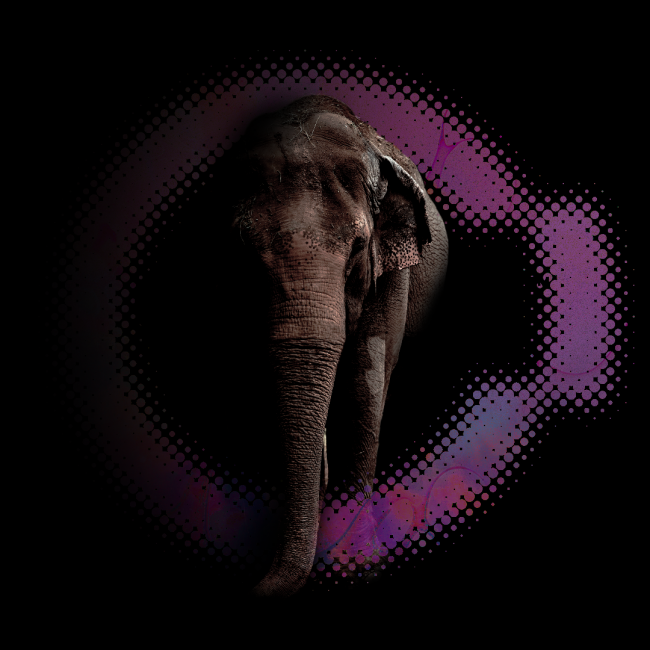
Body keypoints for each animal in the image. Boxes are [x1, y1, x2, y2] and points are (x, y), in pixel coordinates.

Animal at [217, 95, 448, 597]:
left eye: (359, 245)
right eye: (246, 248)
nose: (253, 585)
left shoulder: (394, 266)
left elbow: (366, 378)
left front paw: (361, 566)